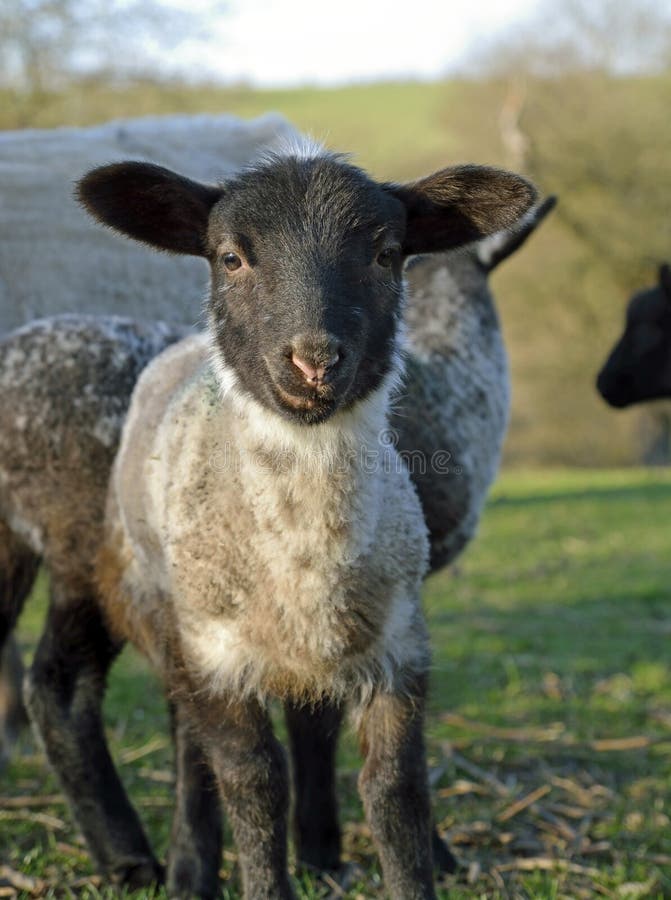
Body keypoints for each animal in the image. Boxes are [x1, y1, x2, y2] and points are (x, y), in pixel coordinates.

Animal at [21, 144, 538, 898]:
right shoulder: (218, 653)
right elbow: (256, 785)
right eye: (231, 257)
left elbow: (393, 789)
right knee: (78, 695)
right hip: (103, 571)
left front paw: (348, 855)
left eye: (387, 253)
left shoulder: (392, 642)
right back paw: (140, 861)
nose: (313, 360)